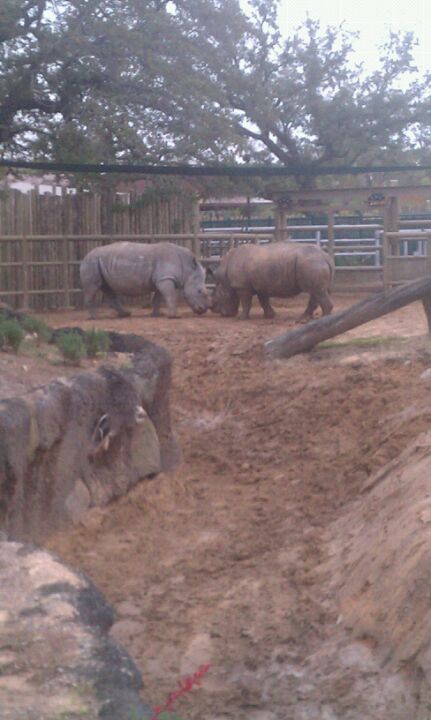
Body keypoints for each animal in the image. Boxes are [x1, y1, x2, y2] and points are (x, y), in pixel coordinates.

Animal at [80, 241, 209, 319]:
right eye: (199, 291)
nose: (202, 310)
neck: (187, 269)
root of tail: (85, 256)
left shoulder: (161, 280)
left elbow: (158, 298)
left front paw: (157, 315)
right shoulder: (165, 278)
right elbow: (171, 296)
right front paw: (174, 316)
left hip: (101, 262)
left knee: (107, 288)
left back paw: (125, 314)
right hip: (91, 262)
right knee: (93, 288)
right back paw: (94, 317)